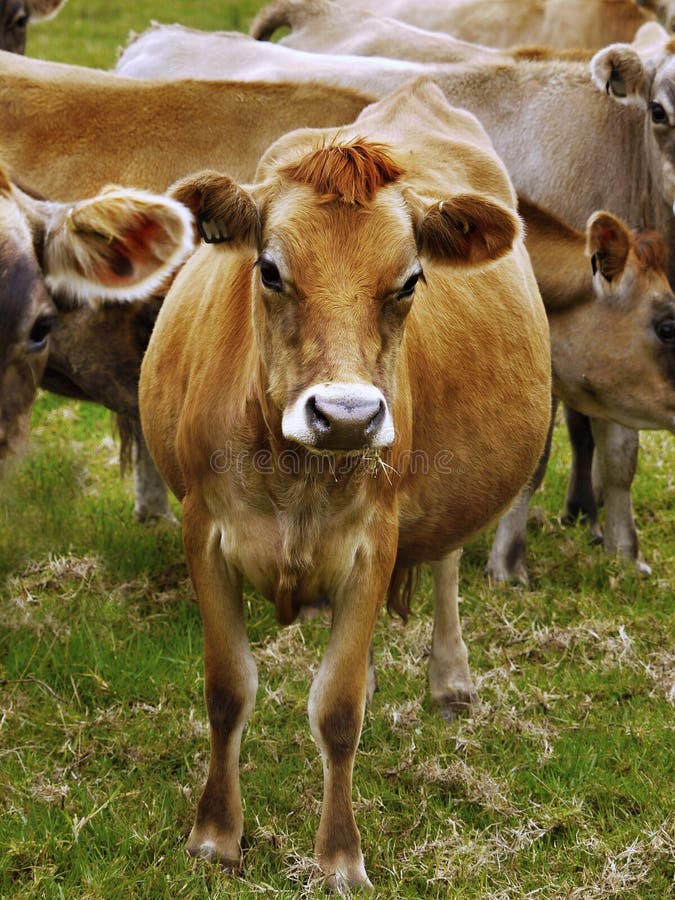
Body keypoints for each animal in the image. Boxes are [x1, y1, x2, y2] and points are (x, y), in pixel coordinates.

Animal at [138, 80, 552, 890]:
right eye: (268, 269)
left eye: (410, 280)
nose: (347, 415)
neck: (296, 472)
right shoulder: (203, 529)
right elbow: (227, 689)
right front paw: (215, 836)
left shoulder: (373, 543)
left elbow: (337, 708)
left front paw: (338, 857)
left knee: (447, 562)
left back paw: (450, 679)